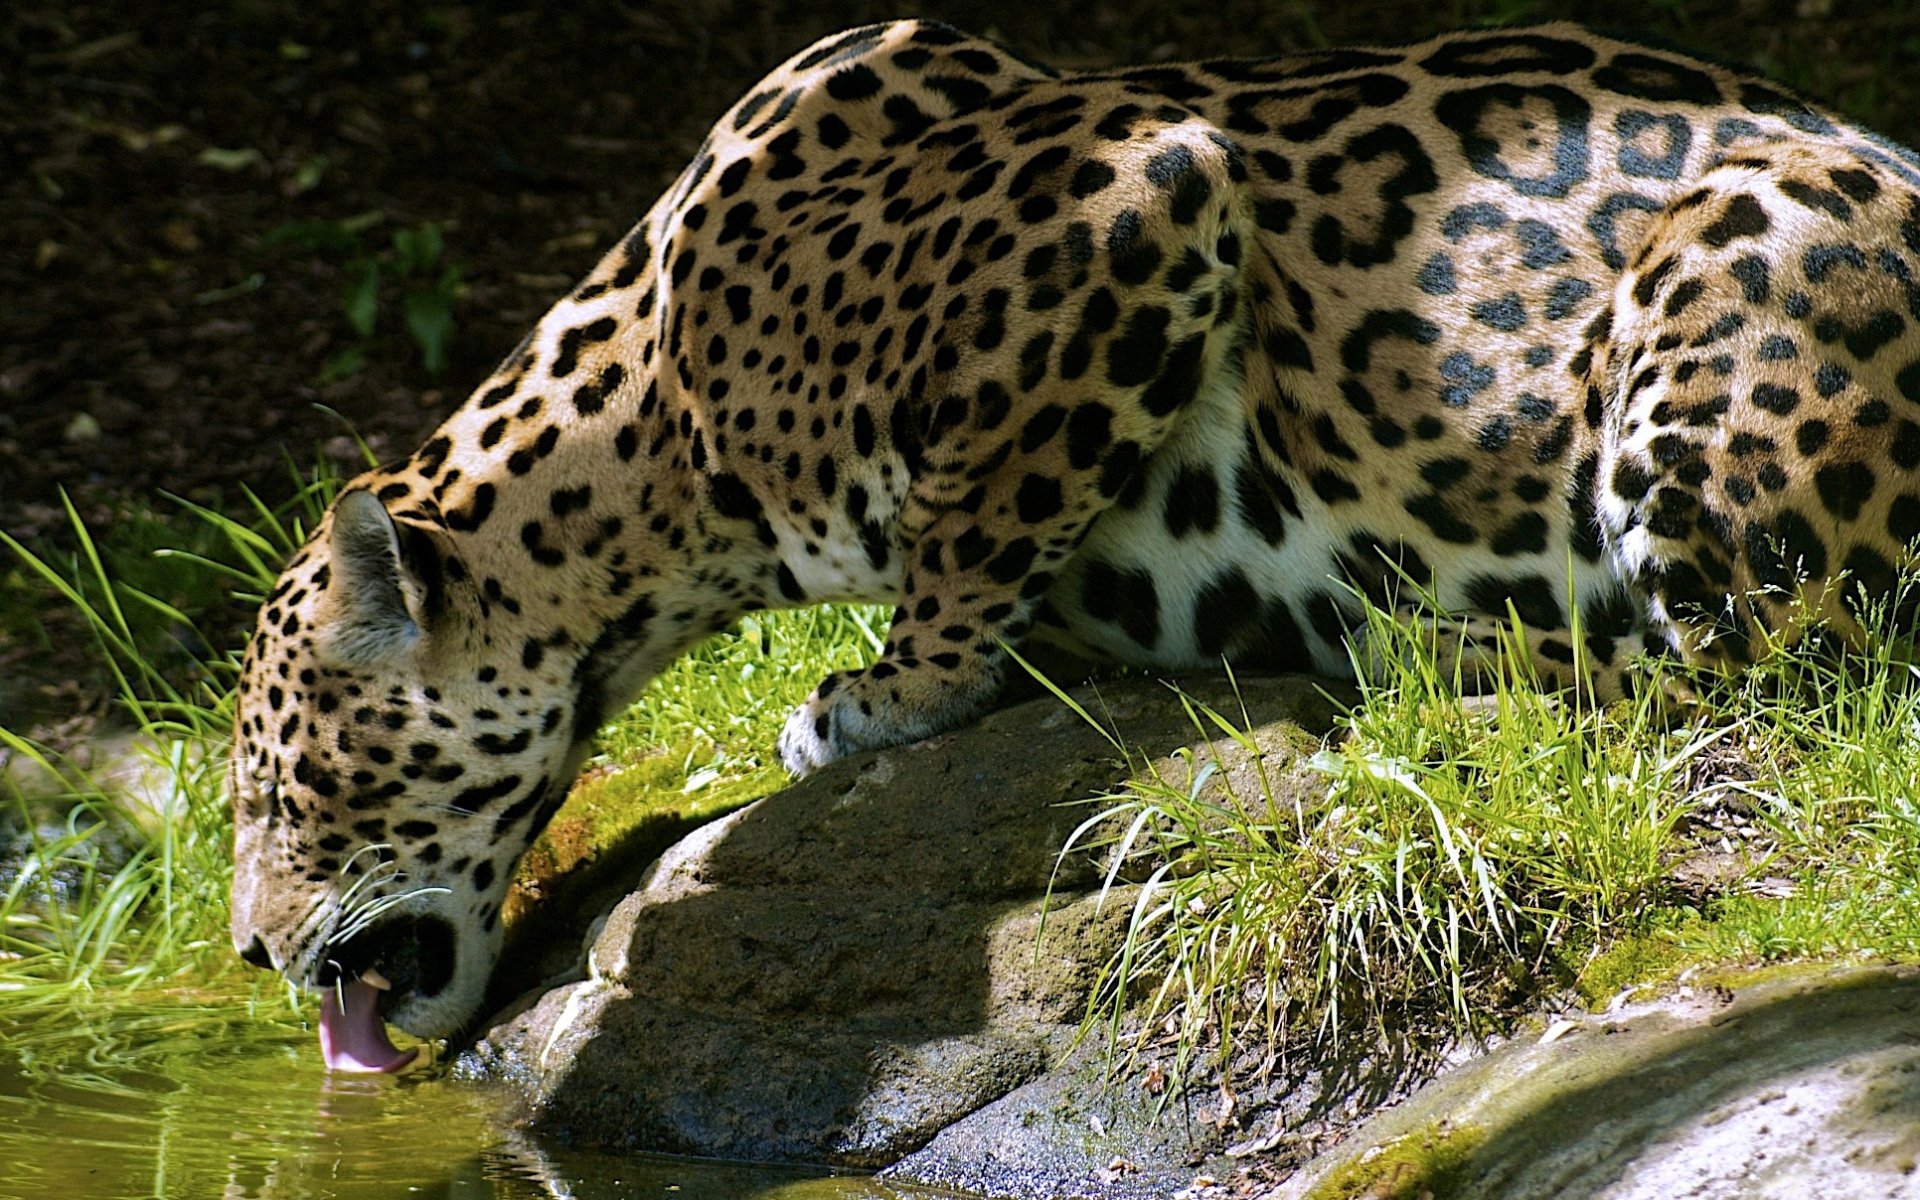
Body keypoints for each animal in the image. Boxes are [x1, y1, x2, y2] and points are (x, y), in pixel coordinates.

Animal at [228, 20, 1920, 1054]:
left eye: (280, 793)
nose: (244, 951)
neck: (658, 434)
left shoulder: (1137, 187)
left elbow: (981, 508)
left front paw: (887, 691)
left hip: (1731, 263)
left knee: (1781, 677)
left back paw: (1452, 658)